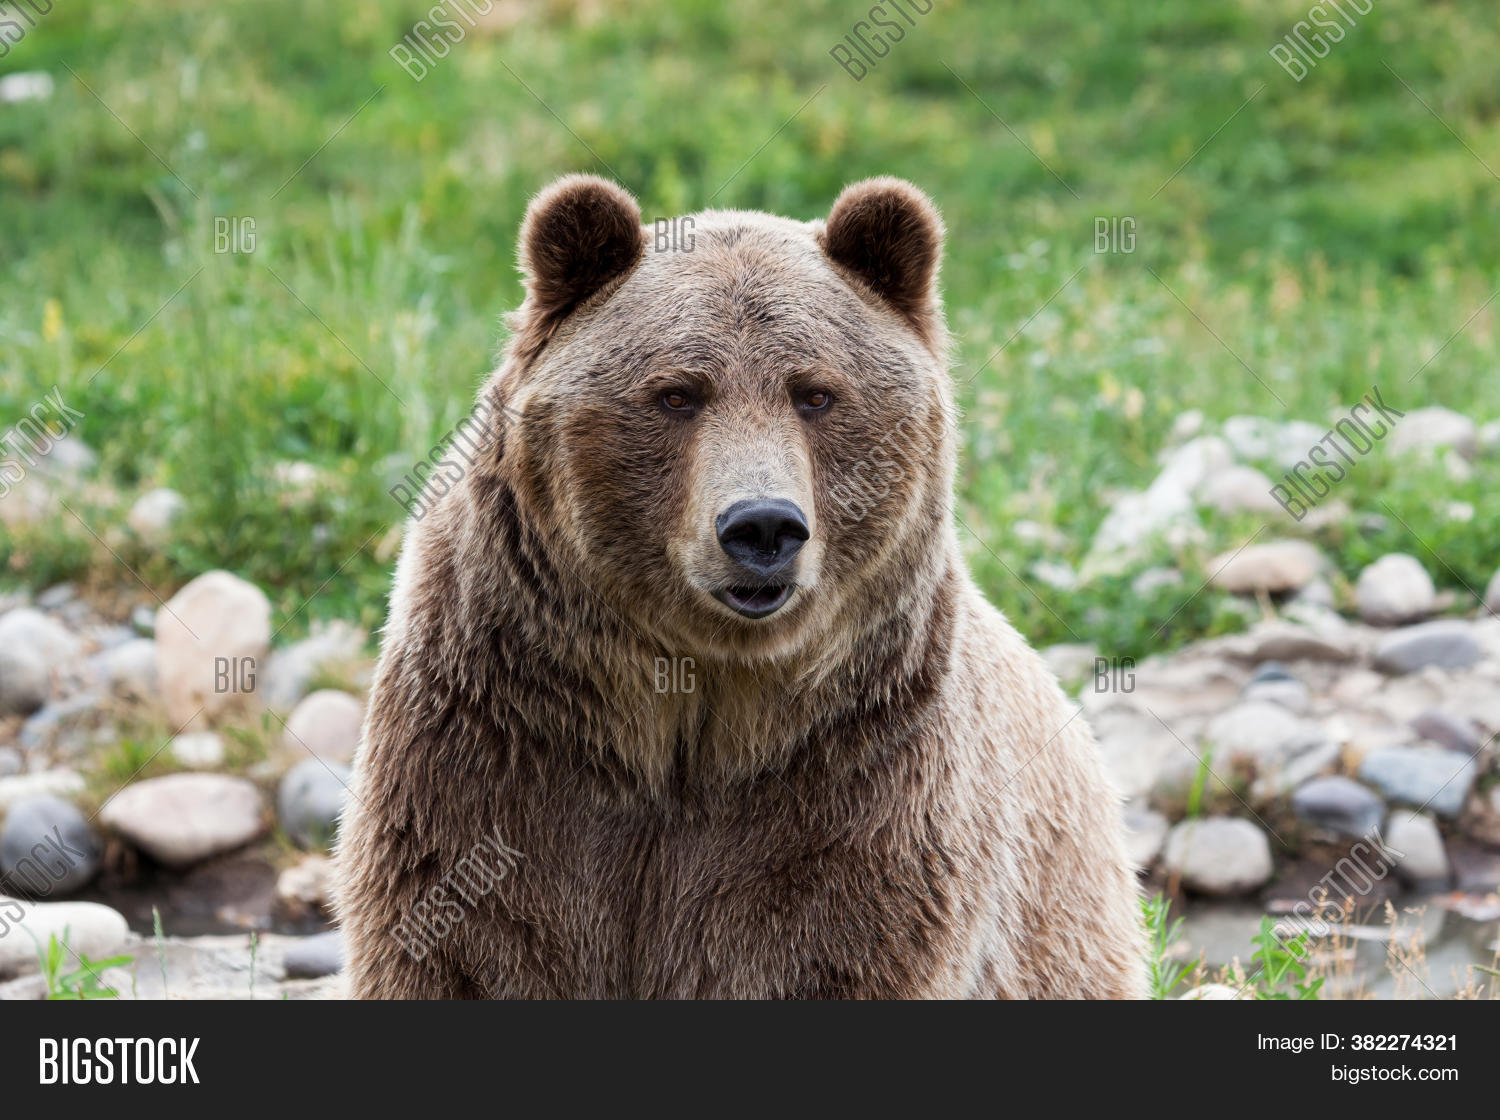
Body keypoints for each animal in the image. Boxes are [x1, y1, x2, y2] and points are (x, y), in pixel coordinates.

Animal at [334, 174, 1147, 999]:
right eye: (676, 394)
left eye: (815, 393)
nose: (762, 526)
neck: (695, 708)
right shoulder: (500, 740)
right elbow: (466, 939)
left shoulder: (860, 777)